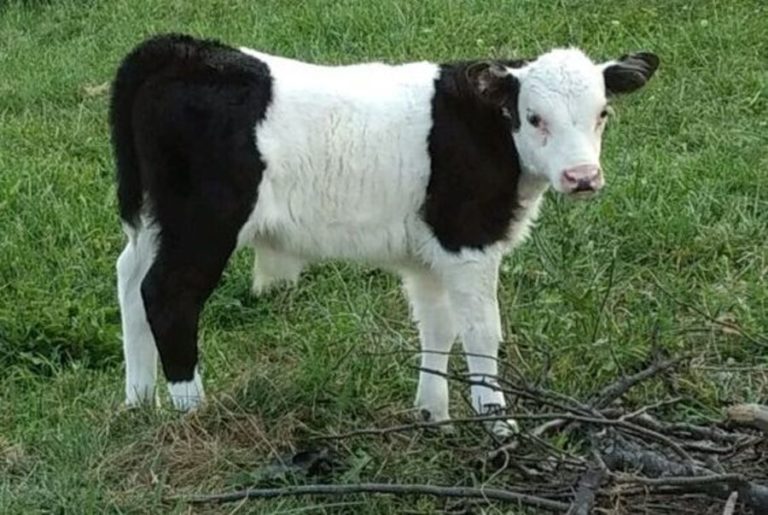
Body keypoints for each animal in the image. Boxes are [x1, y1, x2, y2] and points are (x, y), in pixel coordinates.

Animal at [111, 34, 658, 437]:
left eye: (602, 112)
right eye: (534, 117)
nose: (582, 176)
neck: (485, 130)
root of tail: (186, 50)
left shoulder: (430, 254)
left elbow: (437, 326)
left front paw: (433, 416)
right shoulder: (468, 240)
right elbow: (482, 330)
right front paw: (499, 424)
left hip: (155, 221)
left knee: (130, 283)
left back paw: (139, 402)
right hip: (205, 222)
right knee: (168, 295)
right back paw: (192, 410)